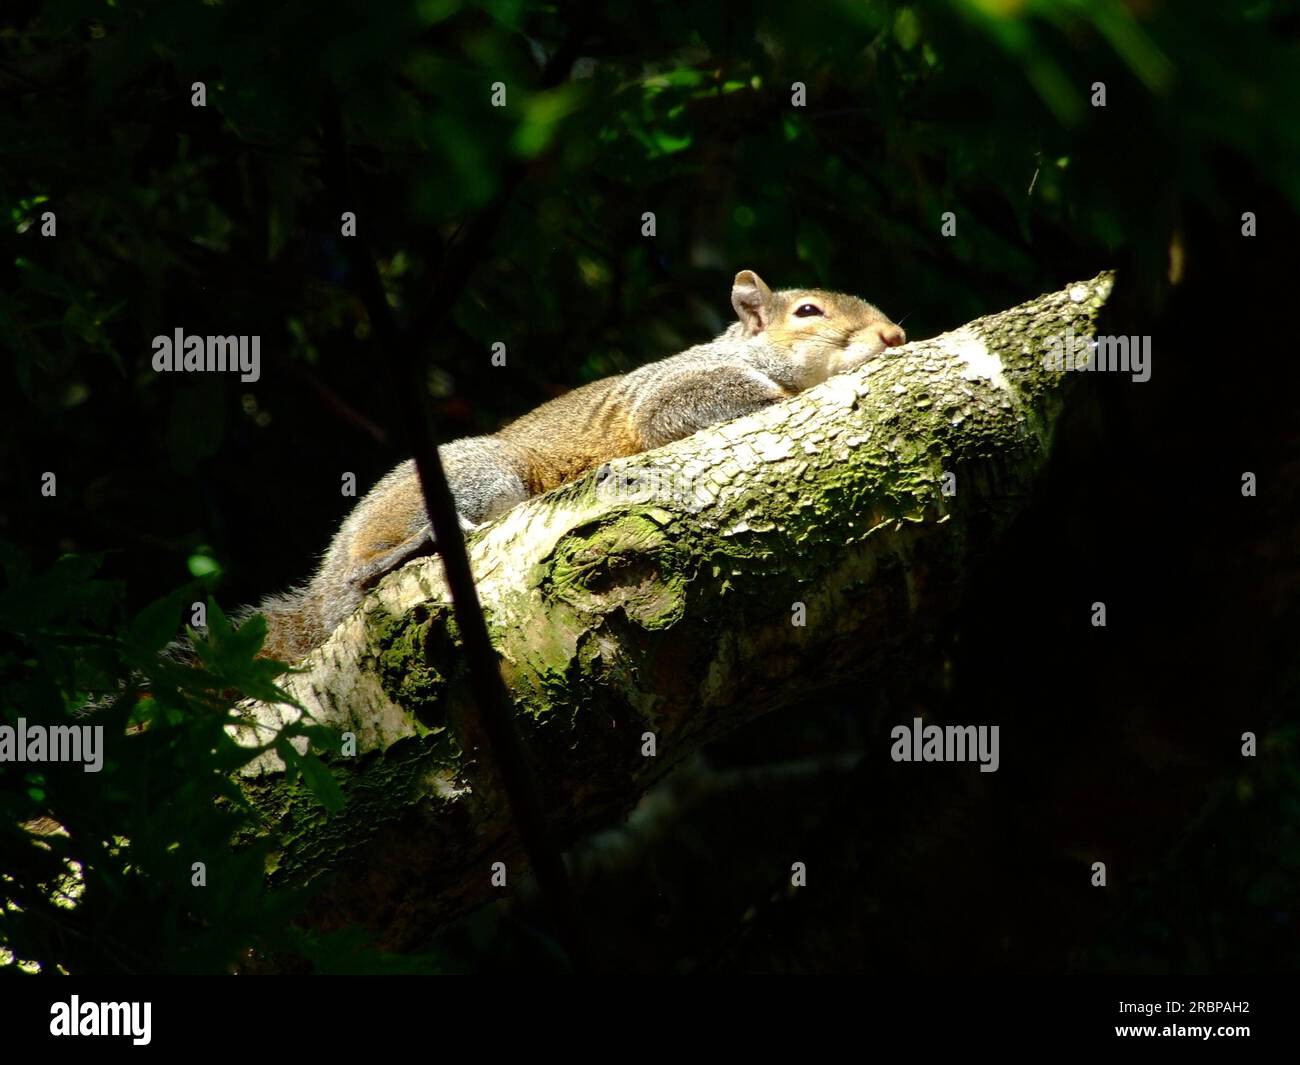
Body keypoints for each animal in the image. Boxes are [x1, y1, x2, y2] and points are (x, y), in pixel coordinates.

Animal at [251, 270, 905, 662]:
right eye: (808, 310)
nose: (895, 334)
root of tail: (322, 585)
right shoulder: (668, 395)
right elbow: (687, 406)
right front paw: (783, 395)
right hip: (478, 474)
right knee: (362, 575)